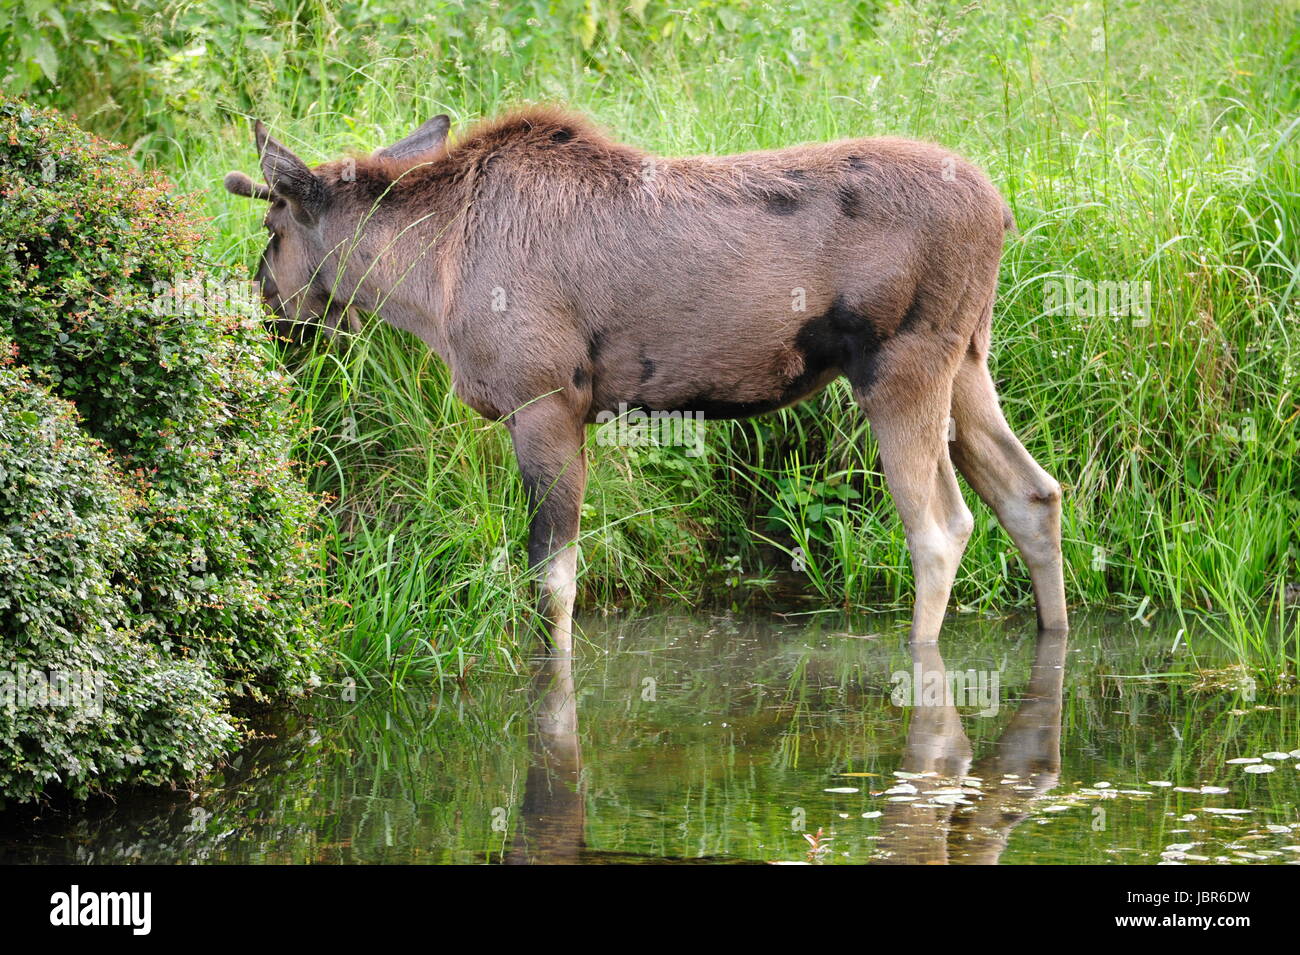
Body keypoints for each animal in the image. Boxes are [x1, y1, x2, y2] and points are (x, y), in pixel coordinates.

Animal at [224, 107, 1067, 653]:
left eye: (271, 227)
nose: (262, 296)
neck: (429, 281)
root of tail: (1002, 212)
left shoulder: (548, 401)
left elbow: (554, 585)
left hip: (901, 366)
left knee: (939, 530)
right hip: (969, 360)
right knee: (1033, 494)